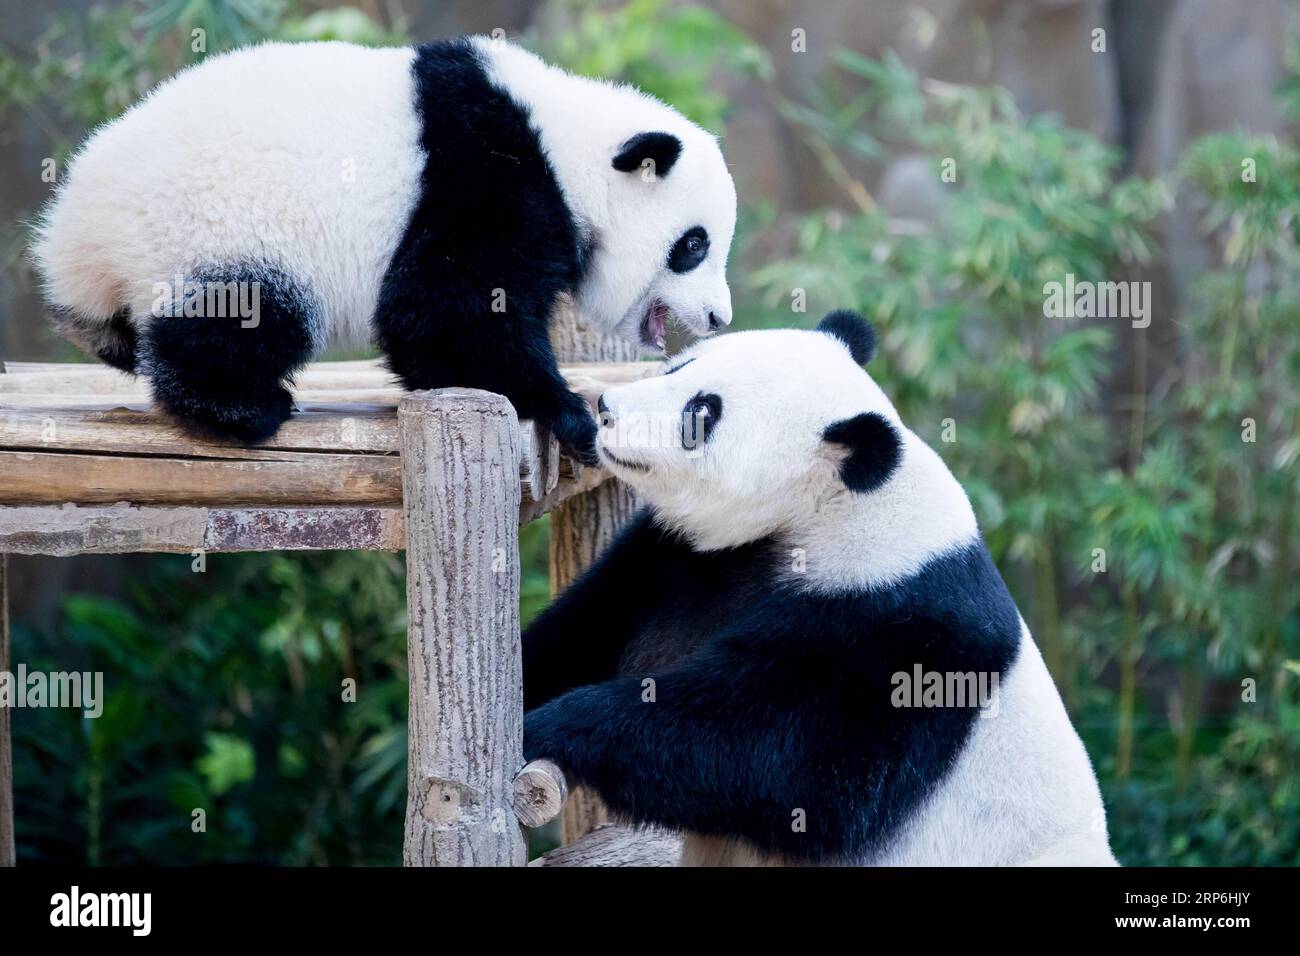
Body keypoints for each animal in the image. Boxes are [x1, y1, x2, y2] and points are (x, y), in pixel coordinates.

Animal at [30, 37, 736, 461]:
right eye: (693, 245)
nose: (718, 317)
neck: (567, 148)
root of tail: (78, 226)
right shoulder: (481, 175)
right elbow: (447, 312)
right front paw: (569, 413)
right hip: (219, 225)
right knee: (239, 316)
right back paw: (242, 408)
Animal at [522, 310, 1117, 866]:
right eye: (680, 366)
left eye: (701, 413)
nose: (606, 409)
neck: (827, 511)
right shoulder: (686, 560)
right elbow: (586, 630)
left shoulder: (896, 630)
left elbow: (777, 758)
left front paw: (550, 726)